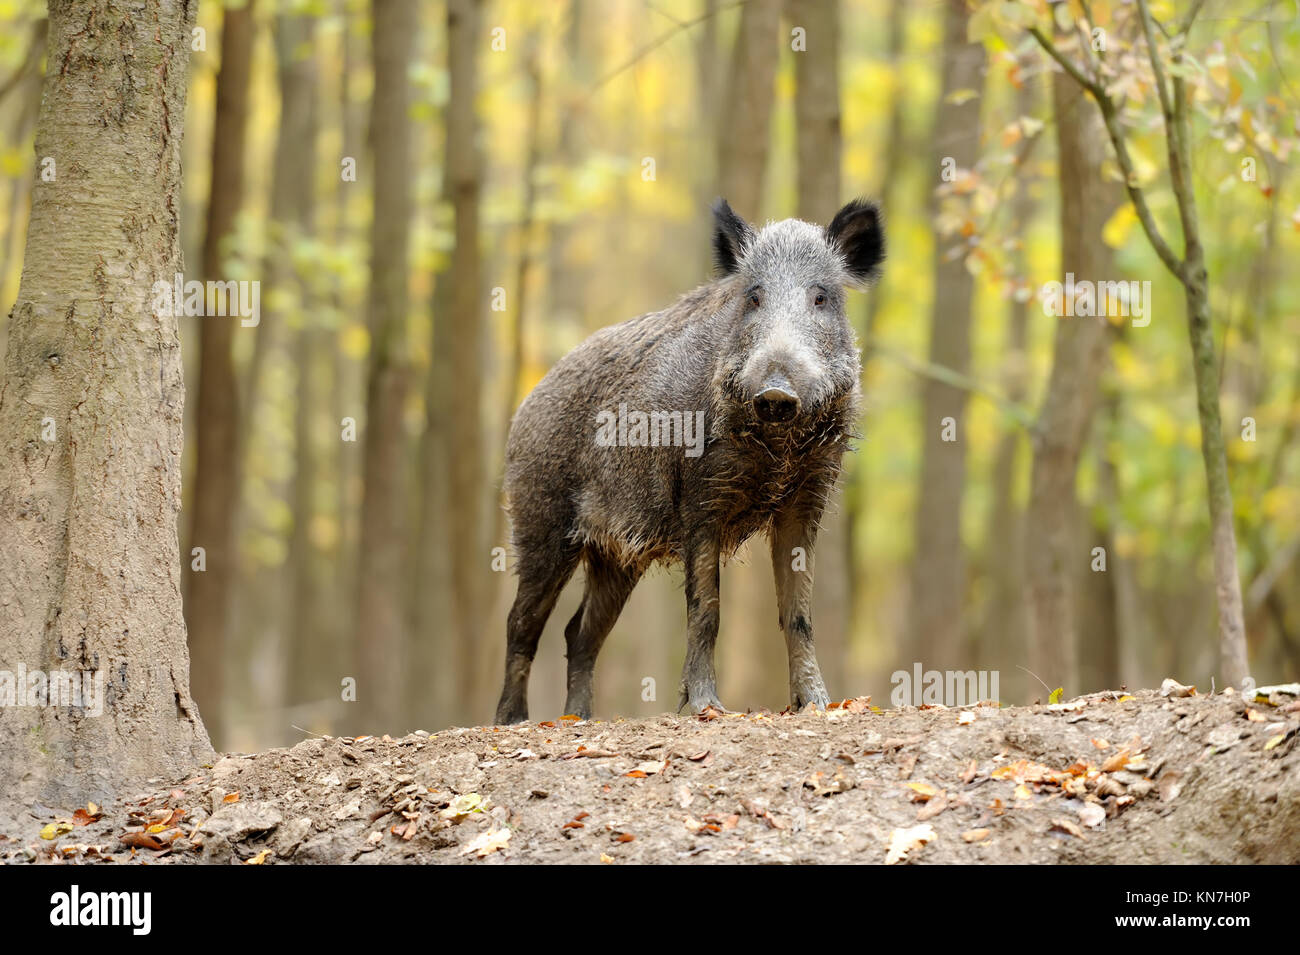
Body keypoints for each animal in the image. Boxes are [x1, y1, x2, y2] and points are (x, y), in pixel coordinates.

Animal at [494, 197, 885, 724]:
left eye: (821, 297)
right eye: (754, 297)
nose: (776, 392)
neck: (775, 451)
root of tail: (526, 405)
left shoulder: (807, 498)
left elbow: (798, 613)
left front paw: (819, 705)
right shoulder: (700, 499)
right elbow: (706, 607)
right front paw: (706, 708)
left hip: (616, 555)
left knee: (580, 631)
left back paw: (579, 719)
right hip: (541, 521)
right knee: (522, 623)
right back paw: (513, 721)